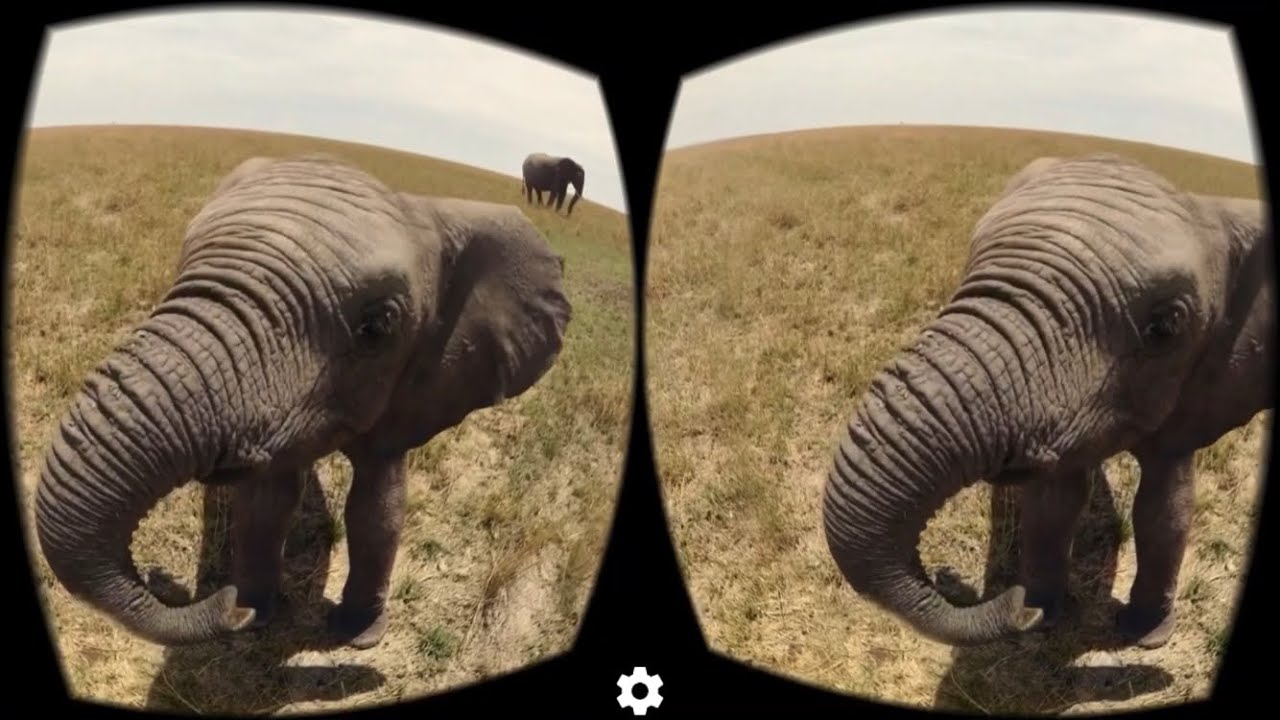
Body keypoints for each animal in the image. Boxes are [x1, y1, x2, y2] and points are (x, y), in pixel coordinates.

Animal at [32, 154, 573, 650]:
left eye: (377, 326)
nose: (222, 600)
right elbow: (268, 501)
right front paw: (255, 613)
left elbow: (378, 505)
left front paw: (356, 636)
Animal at [822, 153, 1273, 650]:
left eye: (1165, 327)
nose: (948, 576)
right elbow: (1054, 501)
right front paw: (1044, 612)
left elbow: (1164, 507)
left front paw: (1144, 637)